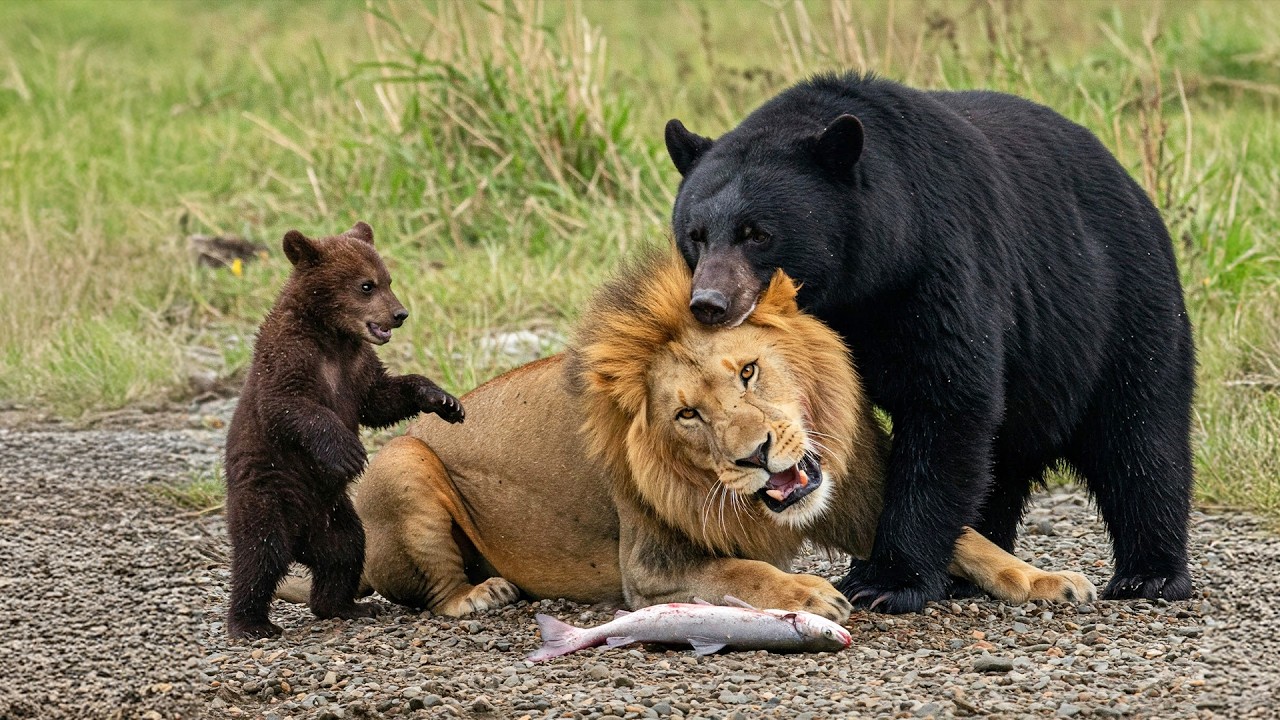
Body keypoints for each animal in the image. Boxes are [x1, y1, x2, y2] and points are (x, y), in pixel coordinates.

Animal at [224, 221, 465, 639]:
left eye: (388, 279)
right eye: (366, 285)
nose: (399, 313)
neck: (331, 334)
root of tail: (300, 540)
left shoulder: (356, 366)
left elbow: (381, 398)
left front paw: (445, 400)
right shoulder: (289, 357)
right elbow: (288, 406)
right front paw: (348, 452)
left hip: (332, 514)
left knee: (345, 551)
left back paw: (347, 606)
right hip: (266, 495)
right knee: (260, 555)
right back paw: (251, 622)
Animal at [277, 247, 1095, 620]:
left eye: (748, 372)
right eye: (686, 415)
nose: (757, 455)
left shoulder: (860, 500)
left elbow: (964, 539)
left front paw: (1044, 577)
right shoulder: (651, 568)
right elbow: (741, 571)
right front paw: (806, 592)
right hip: (402, 458)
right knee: (434, 586)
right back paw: (480, 594)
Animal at [663, 72, 1195, 612]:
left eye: (758, 234)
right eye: (696, 234)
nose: (709, 303)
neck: (858, 283)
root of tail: (1130, 182)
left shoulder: (936, 266)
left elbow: (947, 398)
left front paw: (887, 579)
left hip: (1123, 305)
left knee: (1140, 433)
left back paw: (1149, 575)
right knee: (1002, 460)